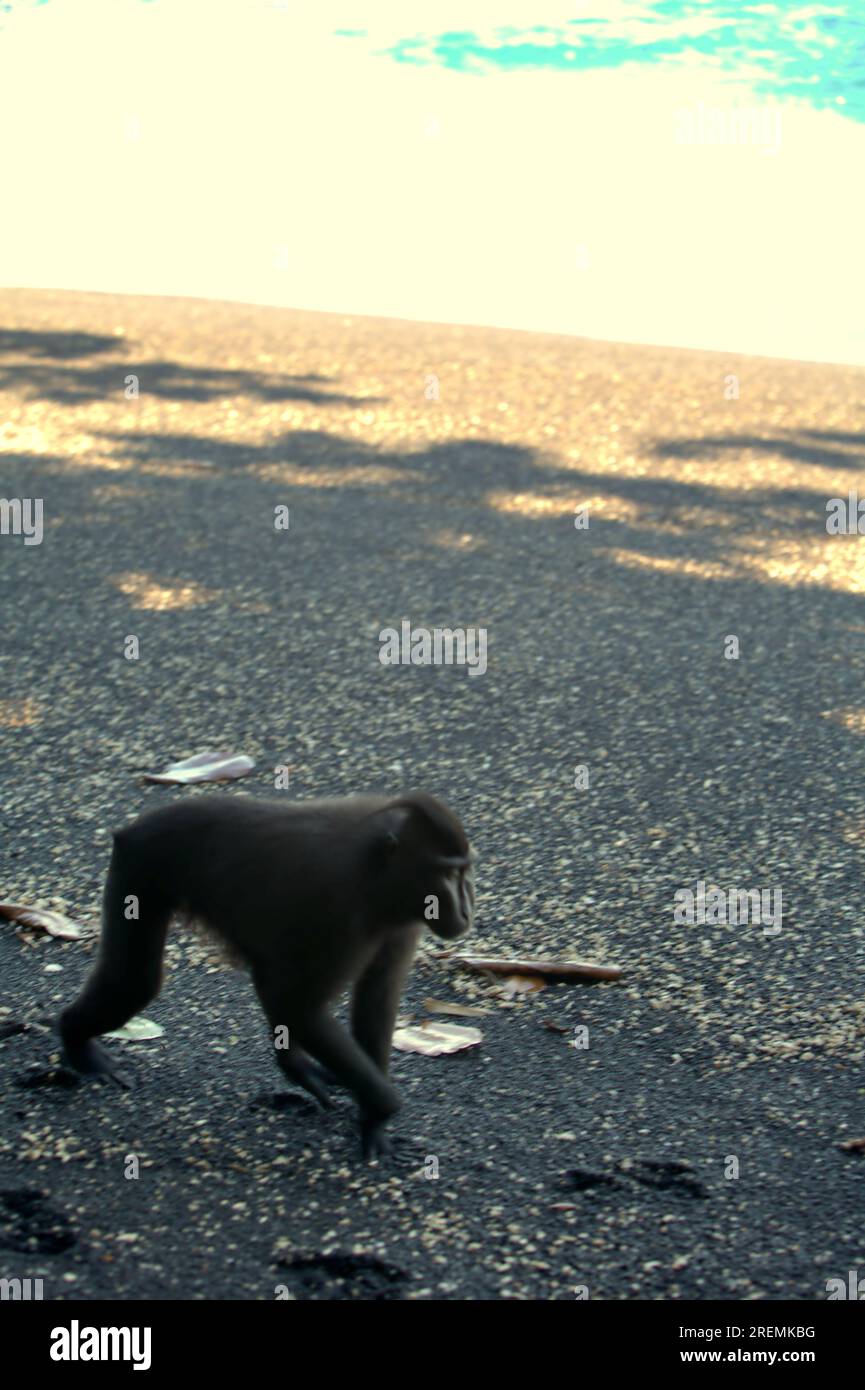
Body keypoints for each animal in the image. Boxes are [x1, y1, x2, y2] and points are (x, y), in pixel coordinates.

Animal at [58, 791, 475, 1159]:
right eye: (448, 874)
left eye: (464, 871)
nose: (467, 907)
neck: (380, 874)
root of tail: (140, 824)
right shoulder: (341, 913)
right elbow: (298, 1007)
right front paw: (382, 1108)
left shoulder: (403, 921)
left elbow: (374, 1000)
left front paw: (372, 1124)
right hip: (141, 865)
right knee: (135, 982)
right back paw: (75, 1041)